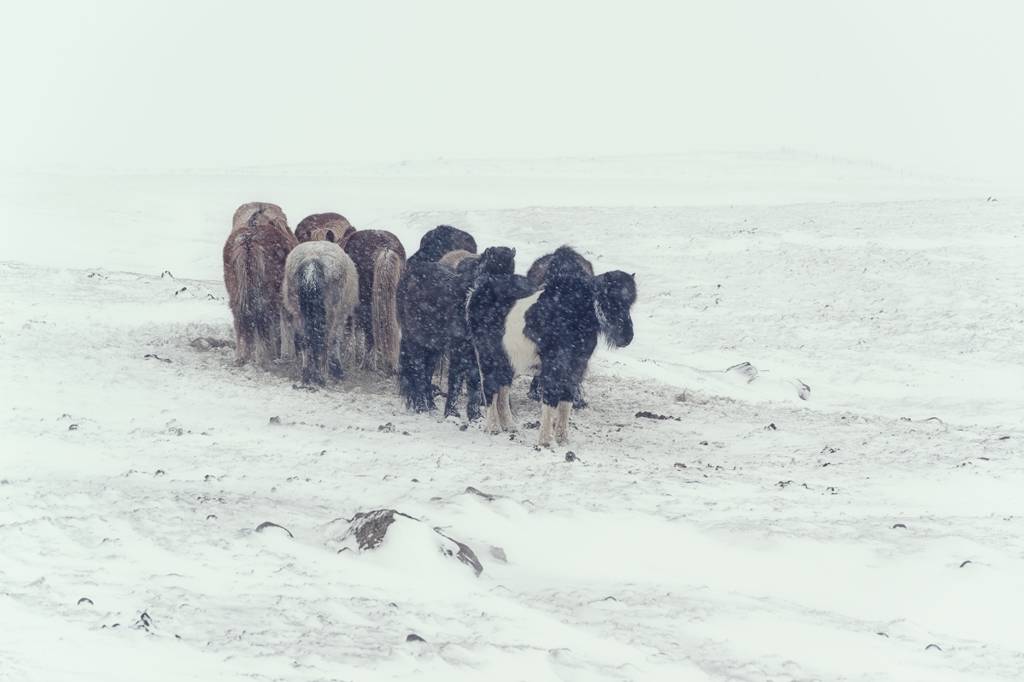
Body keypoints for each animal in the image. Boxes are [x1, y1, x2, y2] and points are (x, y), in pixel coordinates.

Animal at [223, 206, 297, 367]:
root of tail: (248, 239)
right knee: (263, 317)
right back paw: (263, 357)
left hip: (236, 290)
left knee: (242, 318)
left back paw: (242, 356)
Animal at [281, 241, 359, 385]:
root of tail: (312, 260)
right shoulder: (341, 317)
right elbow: (335, 341)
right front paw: (337, 370)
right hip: (330, 313)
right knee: (324, 340)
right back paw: (321, 377)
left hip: (299, 312)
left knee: (305, 341)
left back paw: (307, 376)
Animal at [397, 244, 514, 419]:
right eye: (488, 273)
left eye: (511, 274)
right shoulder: (459, 350)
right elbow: (456, 380)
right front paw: (451, 413)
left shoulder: (474, 354)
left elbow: (475, 384)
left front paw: (475, 416)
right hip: (414, 342)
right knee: (417, 372)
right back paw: (421, 408)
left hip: (432, 347)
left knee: (426, 374)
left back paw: (431, 407)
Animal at [469, 246, 637, 447]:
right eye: (609, 300)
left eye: (630, 303)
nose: (626, 337)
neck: (569, 313)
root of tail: (477, 289)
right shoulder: (553, 366)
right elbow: (550, 400)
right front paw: (545, 442)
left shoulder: (576, 367)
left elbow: (566, 402)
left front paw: (562, 440)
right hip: (487, 355)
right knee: (490, 388)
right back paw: (493, 427)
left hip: (507, 359)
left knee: (502, 390)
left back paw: (509, 426)